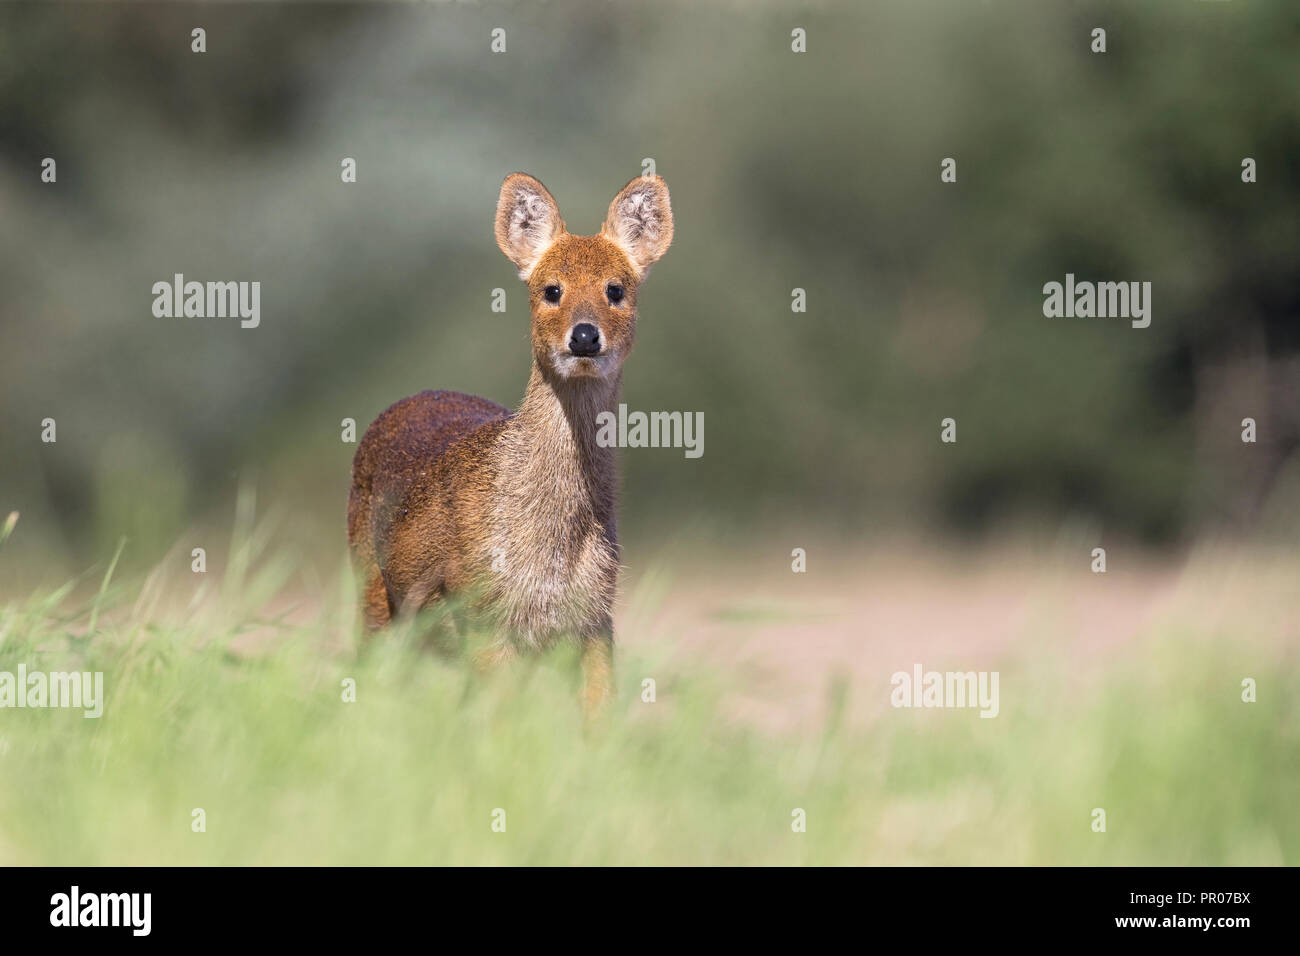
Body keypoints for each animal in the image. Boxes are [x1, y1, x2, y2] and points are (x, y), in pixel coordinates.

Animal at [347, 172, 673, 719]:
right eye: (551, 289)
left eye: (616, 289)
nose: (585, 336)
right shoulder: (481, 611)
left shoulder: (594, 616)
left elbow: (599, 713)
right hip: (371, 585)